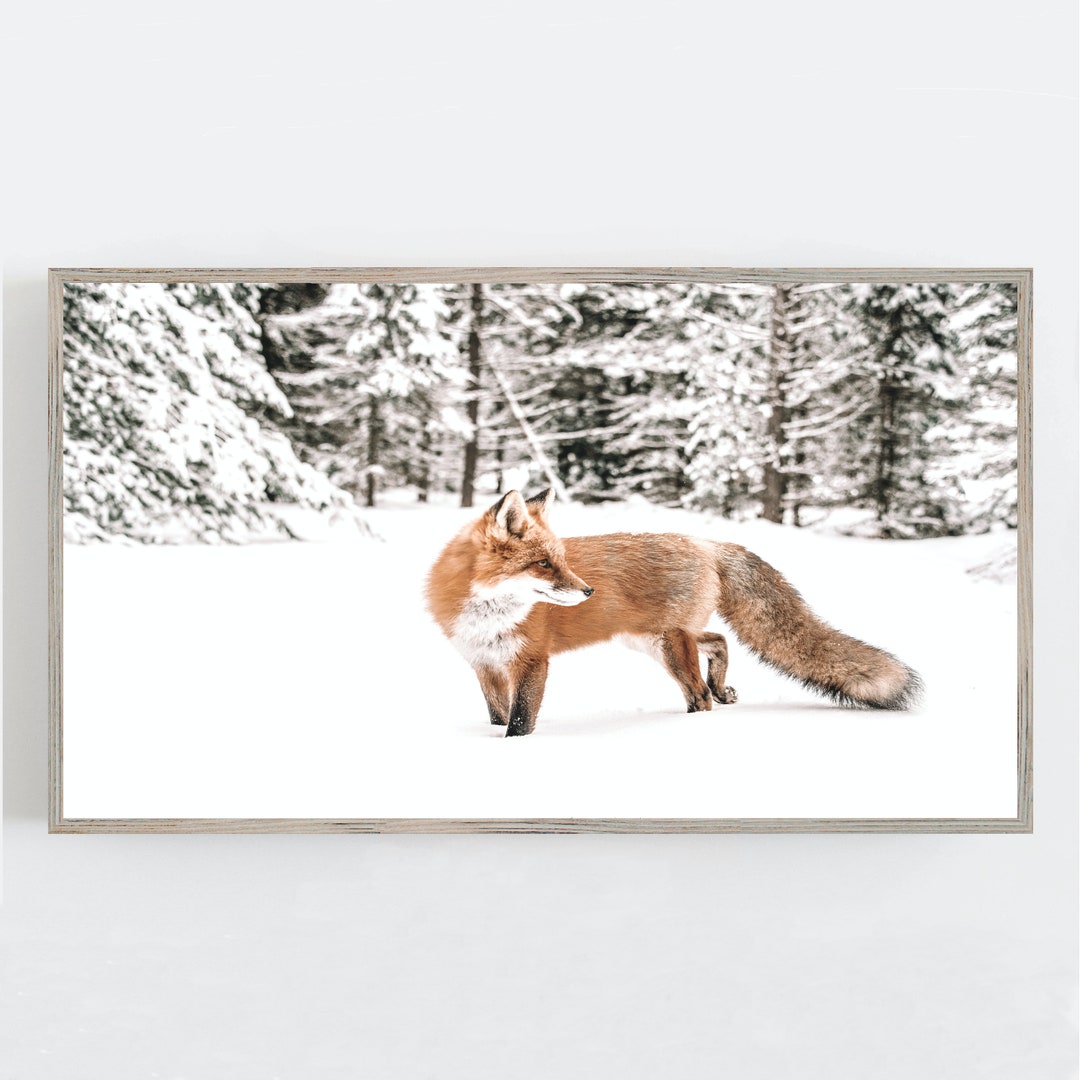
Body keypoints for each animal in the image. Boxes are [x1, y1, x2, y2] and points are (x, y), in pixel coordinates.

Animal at [426, 488, 921, 737]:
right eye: (544, 564)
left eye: (559, 560)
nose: (588, 590)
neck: (487, 616)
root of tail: (705, 542)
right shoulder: (485, 665)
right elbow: (497, 717)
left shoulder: (531, 661)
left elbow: (519, 723)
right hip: (653, 639)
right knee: (719, 641)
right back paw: (722, 688)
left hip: (668, 644)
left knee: (699, 695)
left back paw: (691, 723)